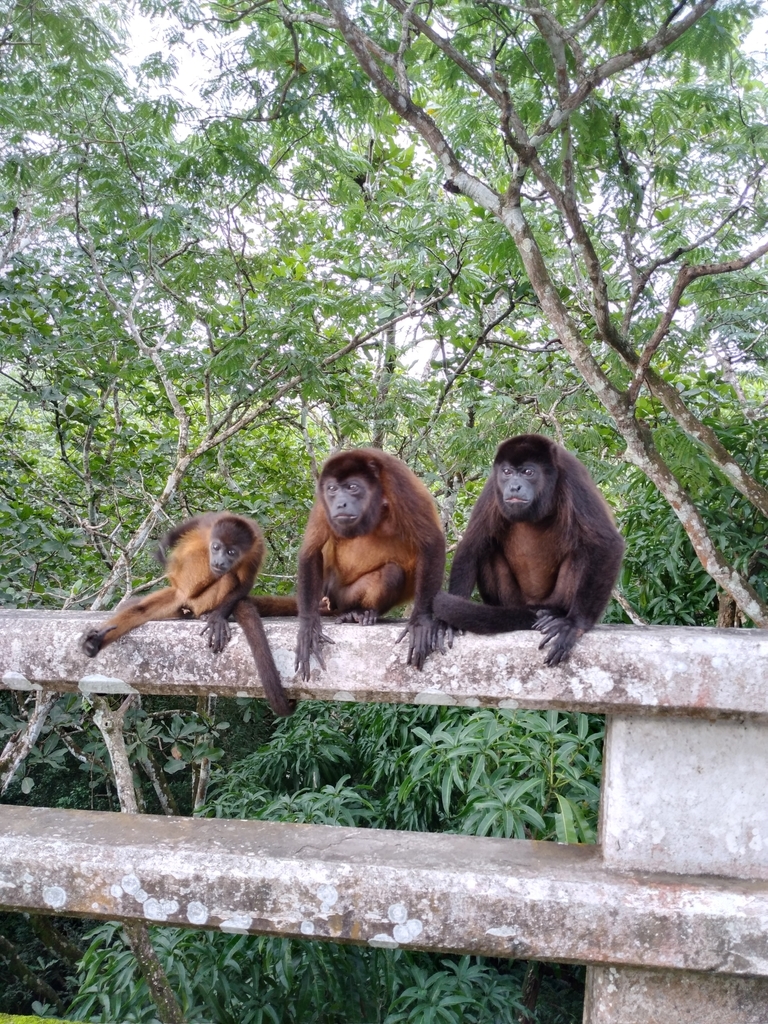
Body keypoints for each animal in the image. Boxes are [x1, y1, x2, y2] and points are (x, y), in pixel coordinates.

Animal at [81, 513, 294, 716]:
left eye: (231, 552)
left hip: (200, 600)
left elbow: (244, 583)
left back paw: (206, 613)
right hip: (181, 593)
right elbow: (194, 524)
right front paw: (163, 545)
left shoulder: (256, 549)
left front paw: (218, 617)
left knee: (228, 577)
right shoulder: (212, 523)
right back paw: (95, 642)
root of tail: (183, 596)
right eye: (216, 547)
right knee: (140, 610)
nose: (219, 561)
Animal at [286, 448, 446, 680]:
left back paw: (363, 612)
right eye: (332, 489)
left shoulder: (398, 481)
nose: (340, 503)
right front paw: (308, 627)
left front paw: (421, 622)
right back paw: (350, 613)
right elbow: (311, 551)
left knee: (391, 572)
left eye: (352, 487)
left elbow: (431, 542)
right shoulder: (322, 501)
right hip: (336, 594)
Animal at [433, 435, 625, 666]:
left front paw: (575, 624)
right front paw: (446, 623)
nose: (514, 486)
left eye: (528, 472)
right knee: (488, 551)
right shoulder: (492, 487)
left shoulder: (572, 477)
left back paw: (554, 614)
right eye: (507, 472)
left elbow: (606, 543)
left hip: (556, 597)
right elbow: (472, 544)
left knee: (581, 554)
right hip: (513, 599)